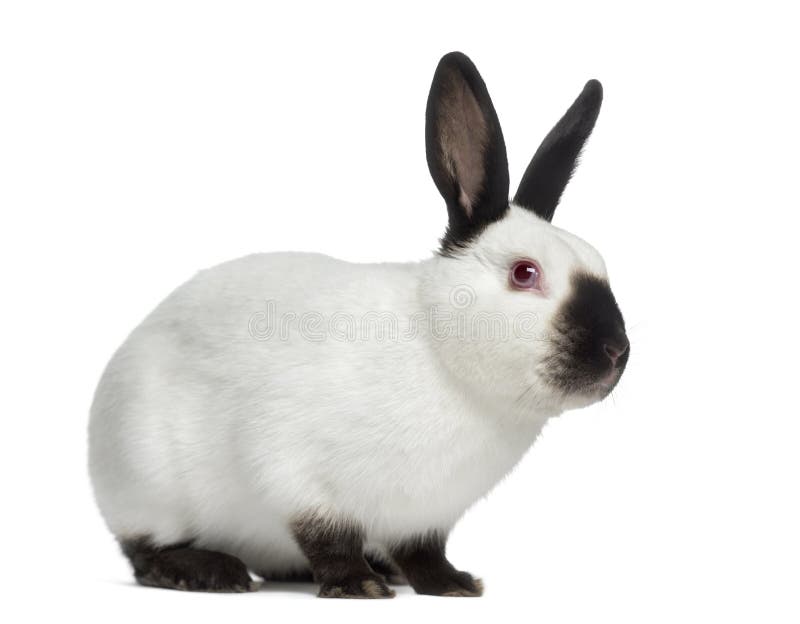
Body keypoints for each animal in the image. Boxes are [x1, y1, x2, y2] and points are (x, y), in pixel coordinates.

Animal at [89, 51, 628, 599]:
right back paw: (212, 572)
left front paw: (452, 584)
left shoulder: (426, 517)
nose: (615, 350)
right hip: (149, 482)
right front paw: (358, 586)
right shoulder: (297, 474)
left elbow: (423, 552)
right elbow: (327, 537)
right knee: (143, 551)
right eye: (524, 273)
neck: (442, 359)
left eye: (601, 264)